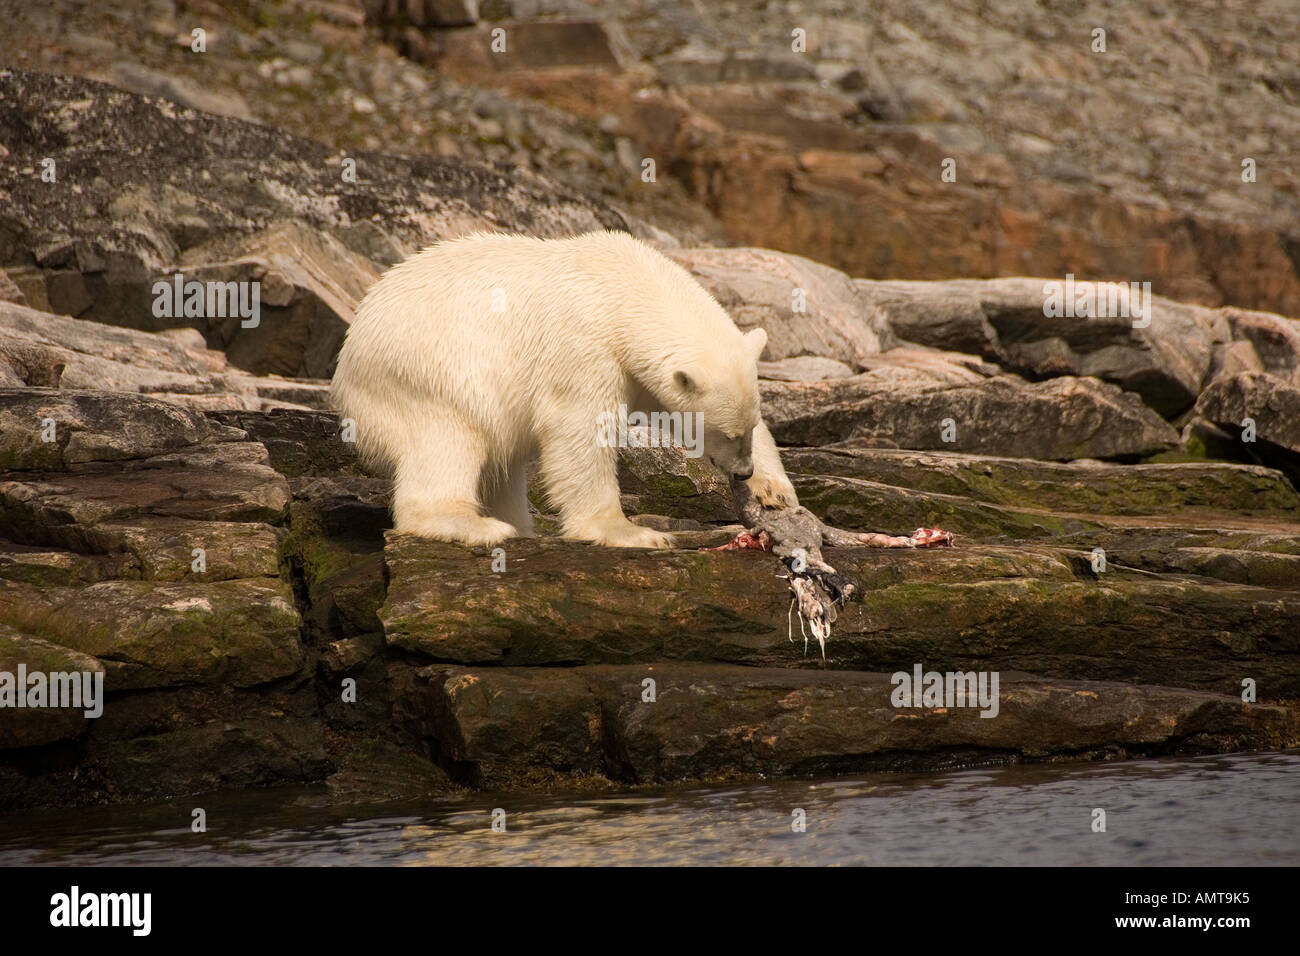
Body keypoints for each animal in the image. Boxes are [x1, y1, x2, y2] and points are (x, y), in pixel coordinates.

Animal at [331, 230, 798, 548]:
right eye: (725, 432)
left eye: (746, 428)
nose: (742, 472)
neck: (624, 287)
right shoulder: (583, 346)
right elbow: (577, 430)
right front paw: (630, 532)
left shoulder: (638, 373)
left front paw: (775, 490)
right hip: (428, 373)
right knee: (448, 440)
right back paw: (476, 525)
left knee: (502, 463)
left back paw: (517, 524)